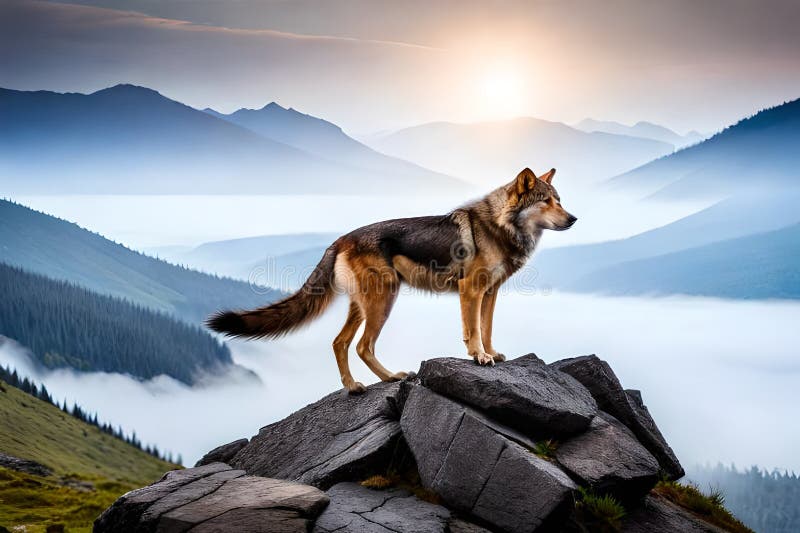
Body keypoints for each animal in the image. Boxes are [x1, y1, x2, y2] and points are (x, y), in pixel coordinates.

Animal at [208, 167, 576, 393]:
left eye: (560, 200)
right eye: (546, 201)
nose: (574, 218)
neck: (502, 227)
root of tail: (339, 240)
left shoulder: (491, 293)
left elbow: (486, 329)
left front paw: (492, 354)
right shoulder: (470, 290)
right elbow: (472, 331)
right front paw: (479, 357)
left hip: (363, 305)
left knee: (339, 343)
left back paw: (353, 387)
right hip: (383, 301)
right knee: (361, 346)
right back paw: (392, 377)